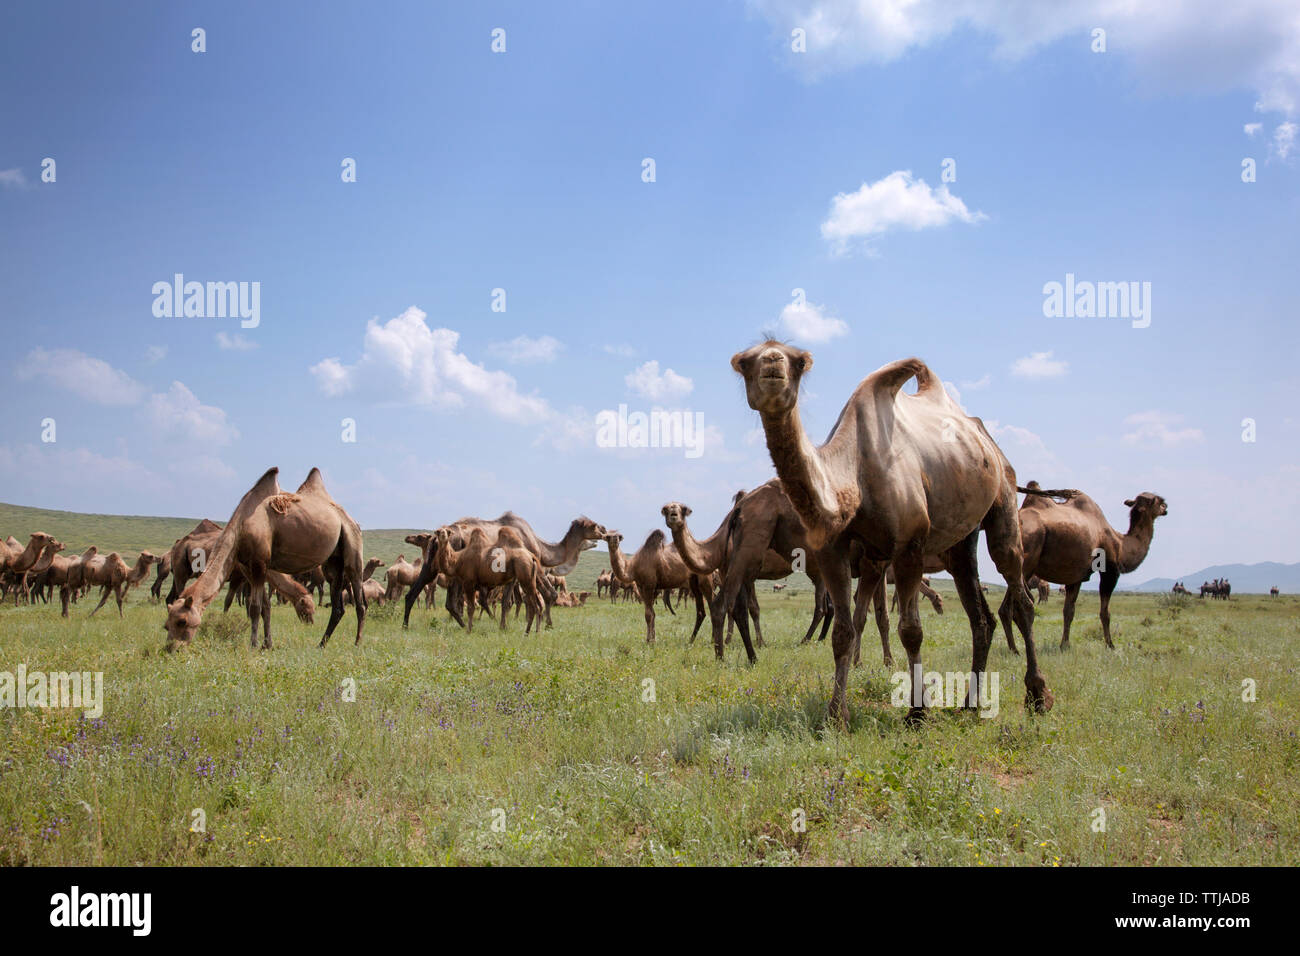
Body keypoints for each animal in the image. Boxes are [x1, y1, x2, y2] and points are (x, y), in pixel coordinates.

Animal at [164, 467, 362, 650]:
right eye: (166, 625)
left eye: (182, 621)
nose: (170, 649)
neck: (241, 526)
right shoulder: (248, 567)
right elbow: (265, 607)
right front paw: (267, 644)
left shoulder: (259, 563)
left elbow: (255, 608)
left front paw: (253, 645)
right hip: (333, 562)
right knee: (337, 606)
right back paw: (321, 644)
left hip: (352, 544)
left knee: (359, 598)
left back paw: (357, 642)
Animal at [732, 342, 1051, 726]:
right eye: (744, 361)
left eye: (798, 361)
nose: (772, 362)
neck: (854, 477)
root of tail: (988, 442)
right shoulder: (837, 551)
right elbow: (844, 631)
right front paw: (836, 716)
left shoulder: (909, 545)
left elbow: (910, 630)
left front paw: (917, 711)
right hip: (960, 542)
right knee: (980, 616)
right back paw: (970, 703)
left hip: (1003, 500)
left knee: (1020, 595)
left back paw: (1037, 695)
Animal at [999, 482, 1167, 650]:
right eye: (1159, 500)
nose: (1166, 508)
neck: (1120, 544)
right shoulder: (1110, 571)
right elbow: (1105, 613)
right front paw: (1110, 645)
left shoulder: (1076, 577)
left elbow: (1069, 611)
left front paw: (1064, 645)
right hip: (1026, 564)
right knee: (1013, 608)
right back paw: (1016, 649)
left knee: (1008, 608)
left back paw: (1016, 648)